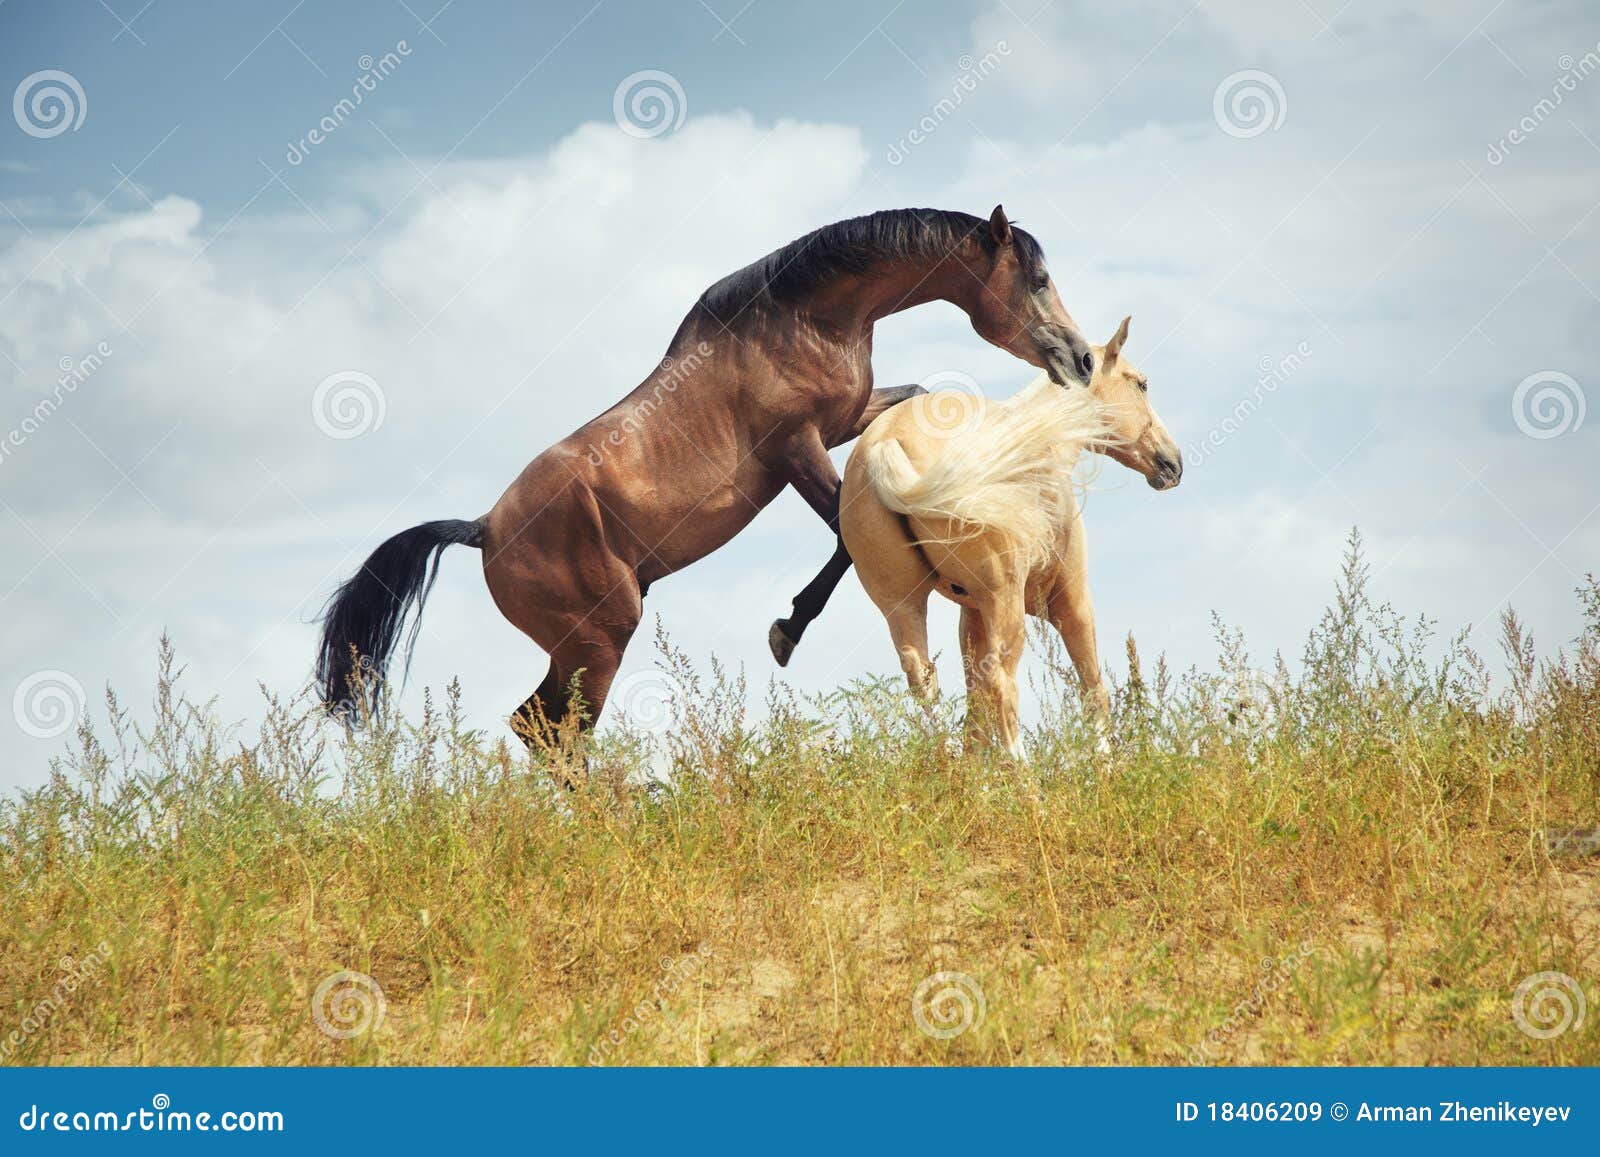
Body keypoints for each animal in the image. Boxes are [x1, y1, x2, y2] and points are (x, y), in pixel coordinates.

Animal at [314, 206, 1099, 744]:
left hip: (580, 648)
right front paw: (787, 630)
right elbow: (842, 536)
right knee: (556, 734)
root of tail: (484, 529)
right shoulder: (796, 448)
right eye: (1037, 278)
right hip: (599, 640)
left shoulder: (841, 423)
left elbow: (905, 406)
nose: (1083, 358)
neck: (806, 318)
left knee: (536, 726)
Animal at [831, 316, 1181, 757]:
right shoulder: (1071, 602)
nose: (1173, 463)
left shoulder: (973, 614)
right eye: (1142, 384)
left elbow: (975, 706)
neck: (1041, 443)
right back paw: (1024, 771)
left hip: (902, 606)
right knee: (1003, 680)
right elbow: (1094, 692)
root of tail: (885, 444)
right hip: (1006, 601)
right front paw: (1104, 764)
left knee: (925, 680)